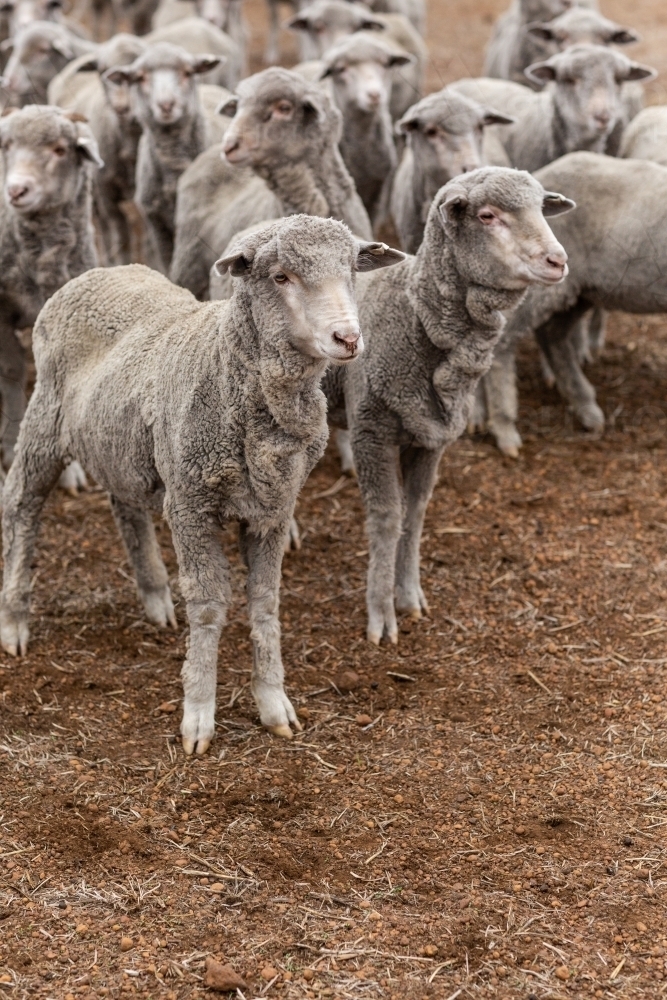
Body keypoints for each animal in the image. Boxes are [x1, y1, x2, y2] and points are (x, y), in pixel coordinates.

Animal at [0, 105, 101, 484]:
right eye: (6, 146)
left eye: (59, 149)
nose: (16, 190)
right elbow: (12, 371)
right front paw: (11, 447)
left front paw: (69, 472)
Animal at [0, 214, 405, 754]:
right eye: (280, 276)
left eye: (351, 270)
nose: (348, 338)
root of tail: (103, 269)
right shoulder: (191, 505)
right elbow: (210, 605)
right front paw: (198, 714)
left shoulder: (273, 509)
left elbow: (265, 602)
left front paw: (273, 704)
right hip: (45, 420)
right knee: (21, 505)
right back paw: (14, 620)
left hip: (120, 440)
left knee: (125, 504)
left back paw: (155, 597)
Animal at [48, 33, 146, 265]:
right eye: (103, 70)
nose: (123, 106)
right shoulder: (106, 192)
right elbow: (120, 236)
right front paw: (121, 263)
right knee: (105, 229)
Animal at [323, 166, 573, 645]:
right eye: (487, 215)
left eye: (540, 207)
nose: (558, 260)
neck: (413, 314)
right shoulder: (372, 432)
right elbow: (387, 518)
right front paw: (381, 614)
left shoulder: (431, 437)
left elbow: (416, 513)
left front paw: (409, 597)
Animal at [476, 151, 667, 457]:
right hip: (543, 284)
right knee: (503, 341)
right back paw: (503, 428)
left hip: (582, 290)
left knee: (552, 336)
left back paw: (585, 407)